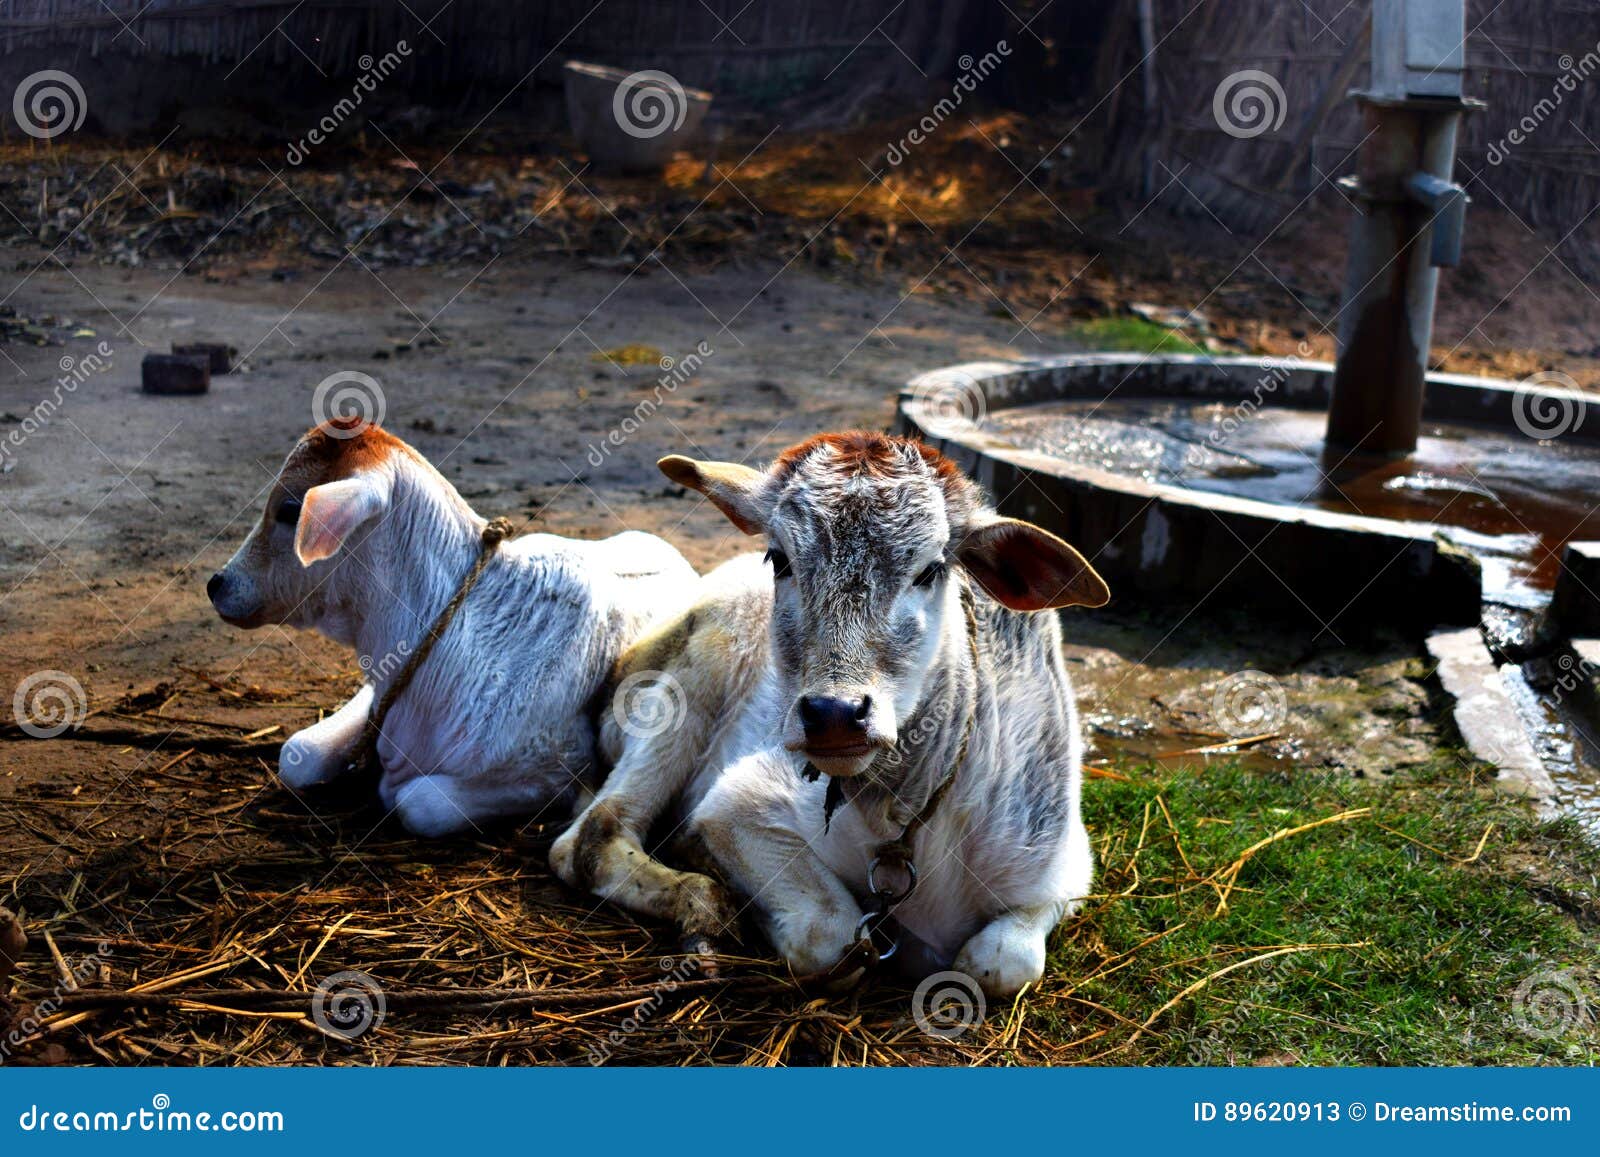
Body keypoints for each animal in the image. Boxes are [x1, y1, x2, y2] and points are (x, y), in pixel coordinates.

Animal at [552, 431, 1109, 998]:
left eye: (930, 569)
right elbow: (831, 937)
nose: (835, 714)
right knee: (588, 840)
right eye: (779, 559)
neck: (903, 824)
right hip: (691, 678)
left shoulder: (1064, 865)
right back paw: (700, 895)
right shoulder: (741, 802)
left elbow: (1001, 964)